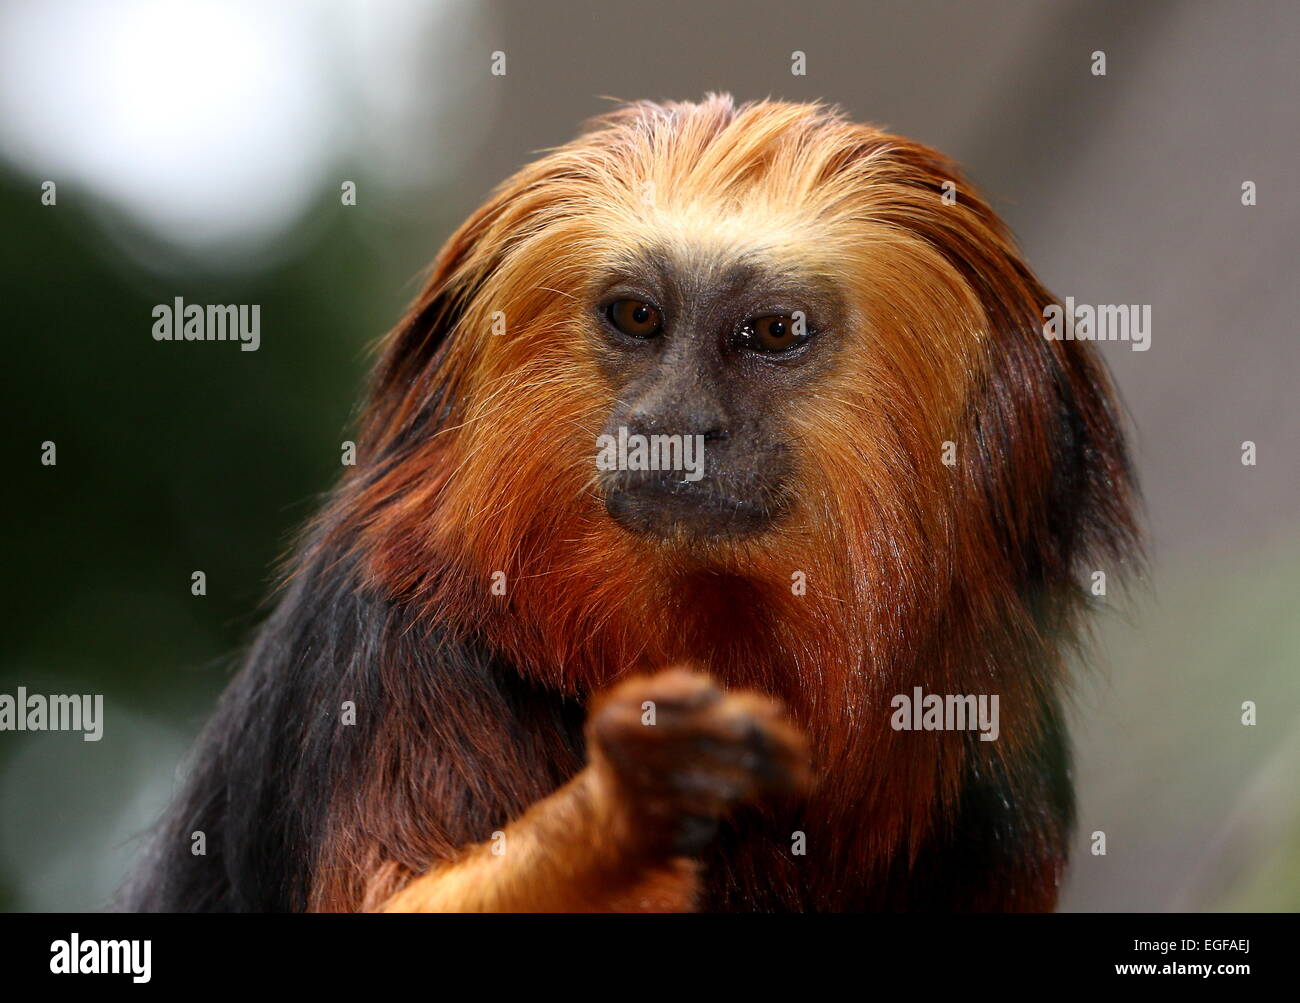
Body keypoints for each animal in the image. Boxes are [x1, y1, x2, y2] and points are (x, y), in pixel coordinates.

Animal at [121, 94, 1137, 913]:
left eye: (773, 332)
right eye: (640, 317)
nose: (671, 424)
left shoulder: (1001, 771)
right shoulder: (386, 652)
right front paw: (626, 810)